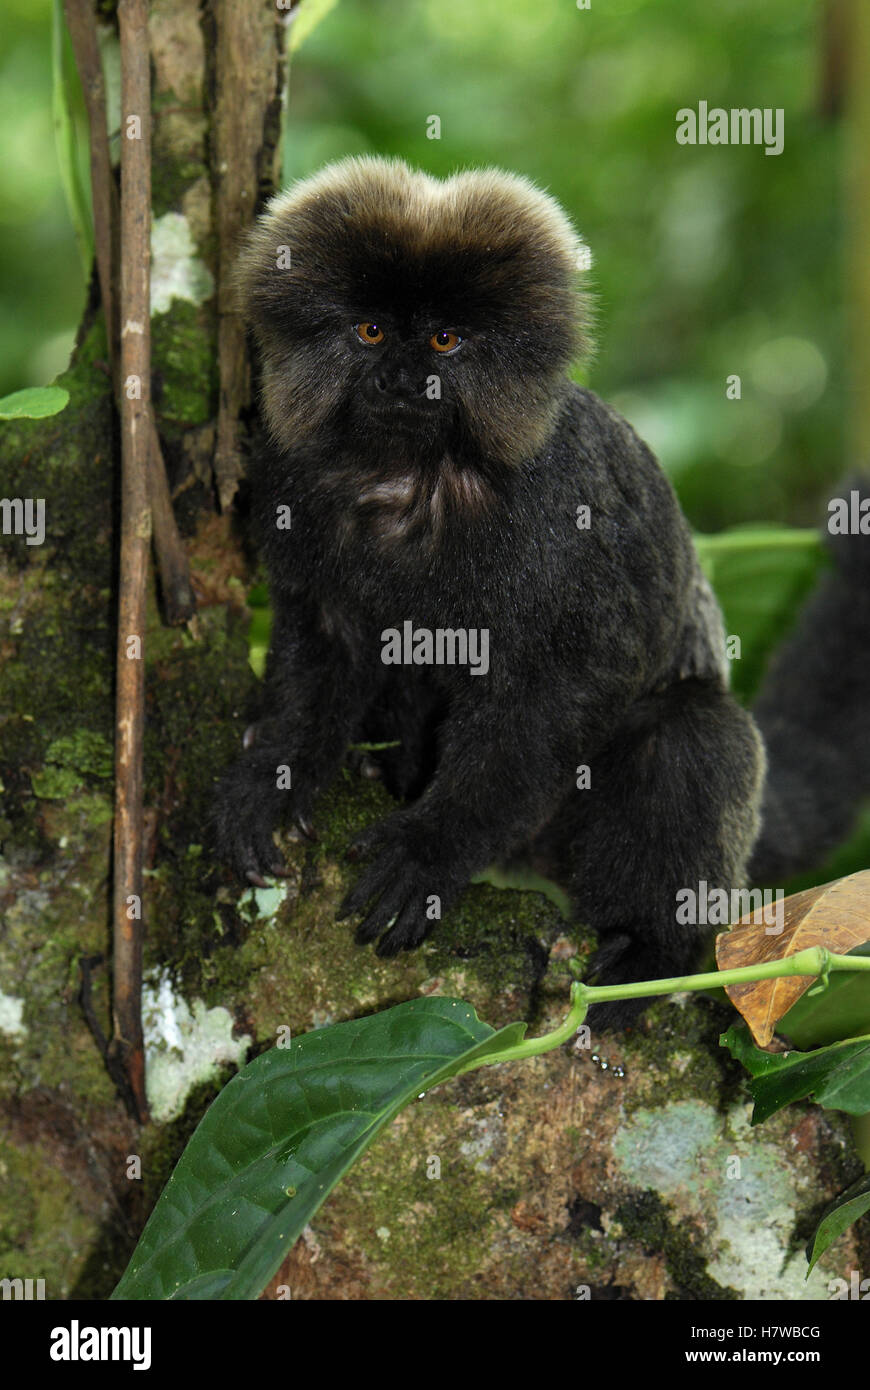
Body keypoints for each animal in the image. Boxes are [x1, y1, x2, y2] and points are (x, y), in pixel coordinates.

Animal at [212, 155, 870, 1028]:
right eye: (372, 332)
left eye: (446, 339)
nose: (405, 379)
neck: (409, 475)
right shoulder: (293, 477)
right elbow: (323, 642)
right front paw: (275, 773)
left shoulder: (560, 509)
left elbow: (564, 688)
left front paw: (433, 848)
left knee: (693, 733)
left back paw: (650, 951)